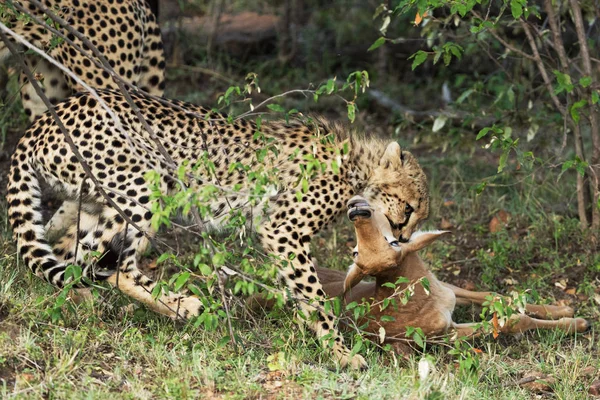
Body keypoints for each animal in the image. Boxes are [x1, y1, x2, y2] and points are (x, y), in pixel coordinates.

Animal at [7, 88, 428, 368]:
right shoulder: (283, 230)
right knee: (117, 267)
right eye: (408, 209)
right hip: (146, 186)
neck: (356, 167)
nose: (402, 238)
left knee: (76, 261)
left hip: (98, 203)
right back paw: (183, 306)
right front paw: (341, 352)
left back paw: (80, 305)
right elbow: (313, 296)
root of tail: (44, 119)